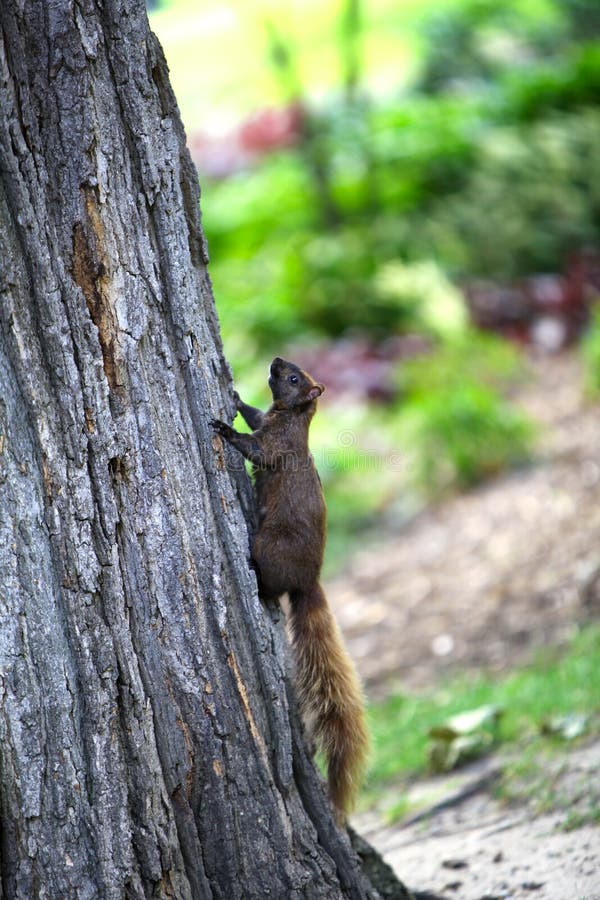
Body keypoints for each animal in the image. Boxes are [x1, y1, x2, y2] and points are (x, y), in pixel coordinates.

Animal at [211, 356, 368, 821]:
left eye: (295, 378)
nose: (277, 361)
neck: (292, 417)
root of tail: (309, 580)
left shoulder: (276, 445)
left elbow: (256, 450)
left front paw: (225, 430)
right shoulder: (267, 420)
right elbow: (253, 414)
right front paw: (235, 397)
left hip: (270, 545)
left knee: (271, 586)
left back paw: (255, 577)